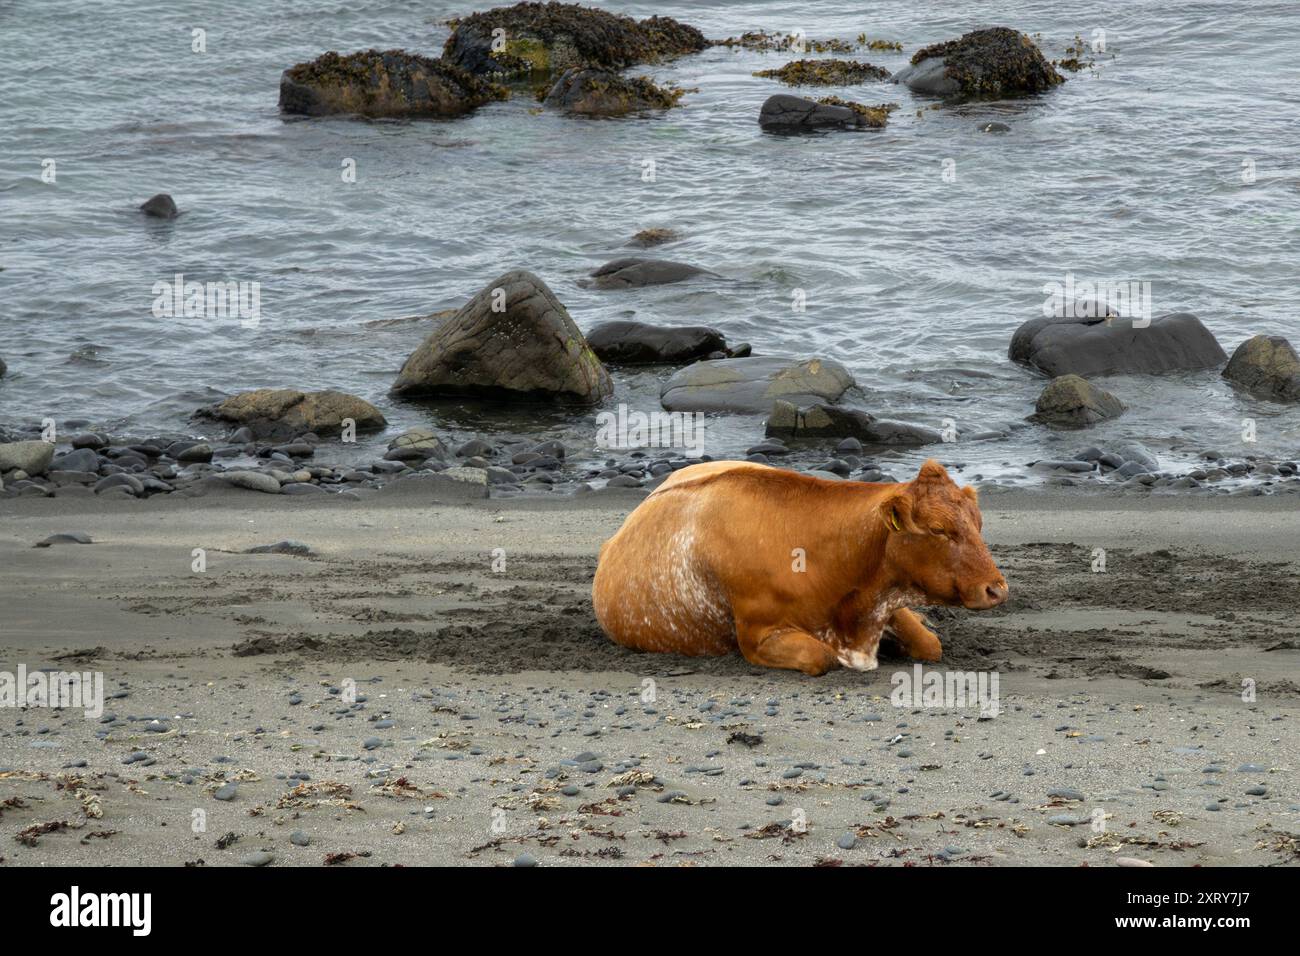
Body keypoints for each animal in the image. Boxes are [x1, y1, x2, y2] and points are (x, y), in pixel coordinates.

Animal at [592, 459, 1007, 675]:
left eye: (978, 522)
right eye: (938, 530)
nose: (997, 588)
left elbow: (929, 644)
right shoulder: (757, 637)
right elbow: (820, 657)